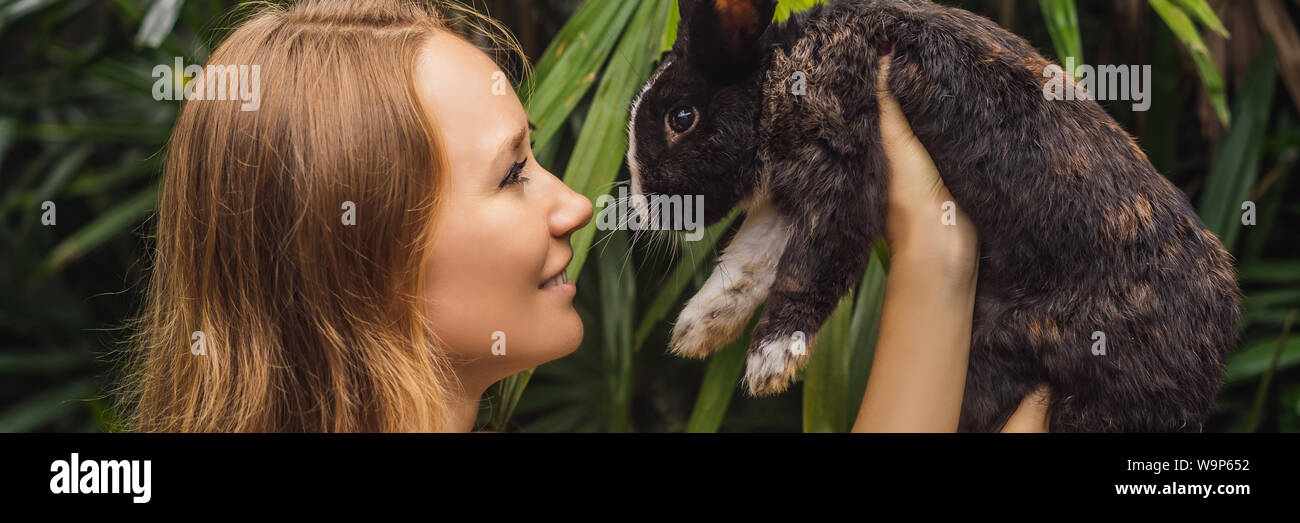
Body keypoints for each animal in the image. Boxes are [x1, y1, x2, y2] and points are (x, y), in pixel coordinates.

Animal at [624, 0, 1241, 432]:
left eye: (682, 117)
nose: (642, 211)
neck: (781, 73)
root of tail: (1213, 352)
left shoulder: (842, 160)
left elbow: (810, 265)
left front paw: (770, 362)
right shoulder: (786, 195)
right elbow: (753, 259)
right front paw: (697, 328)